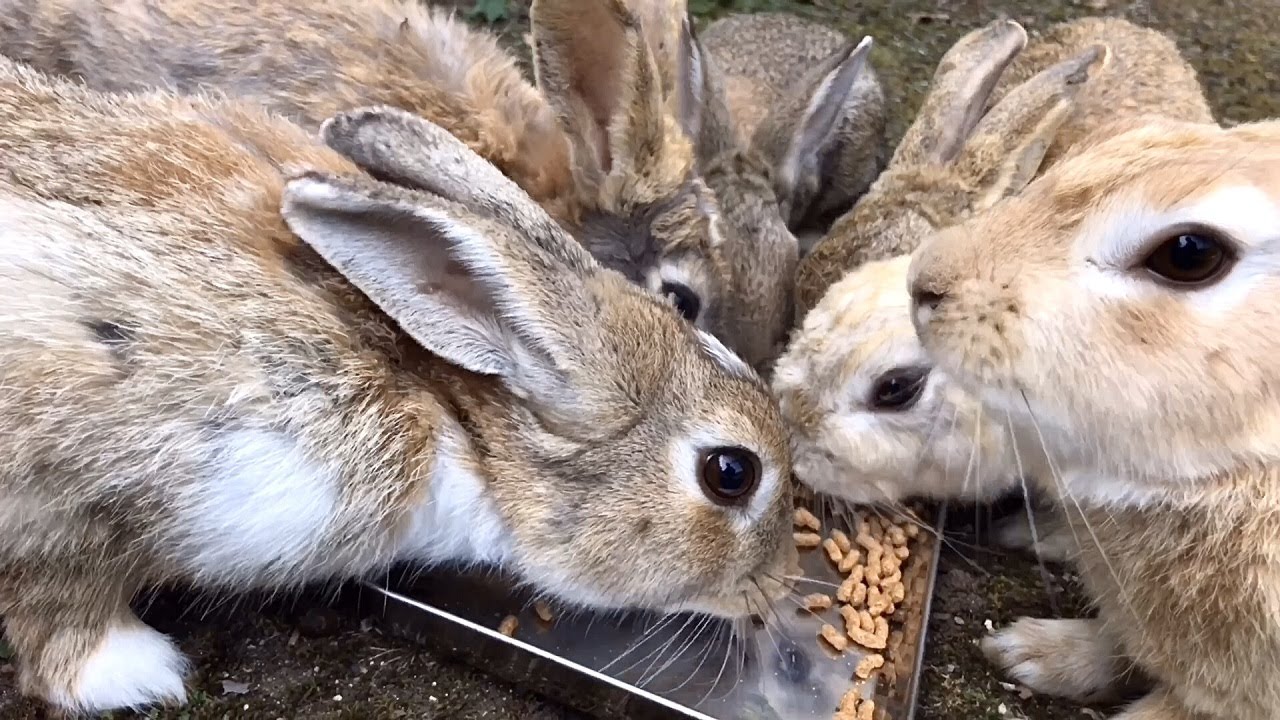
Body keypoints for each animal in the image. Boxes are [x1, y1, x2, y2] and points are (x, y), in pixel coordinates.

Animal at [0, 55, 798, 715]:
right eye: (731, 472)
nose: (780, 585)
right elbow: (56, 595)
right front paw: (136, 673)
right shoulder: (74, 482)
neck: (460, 421)